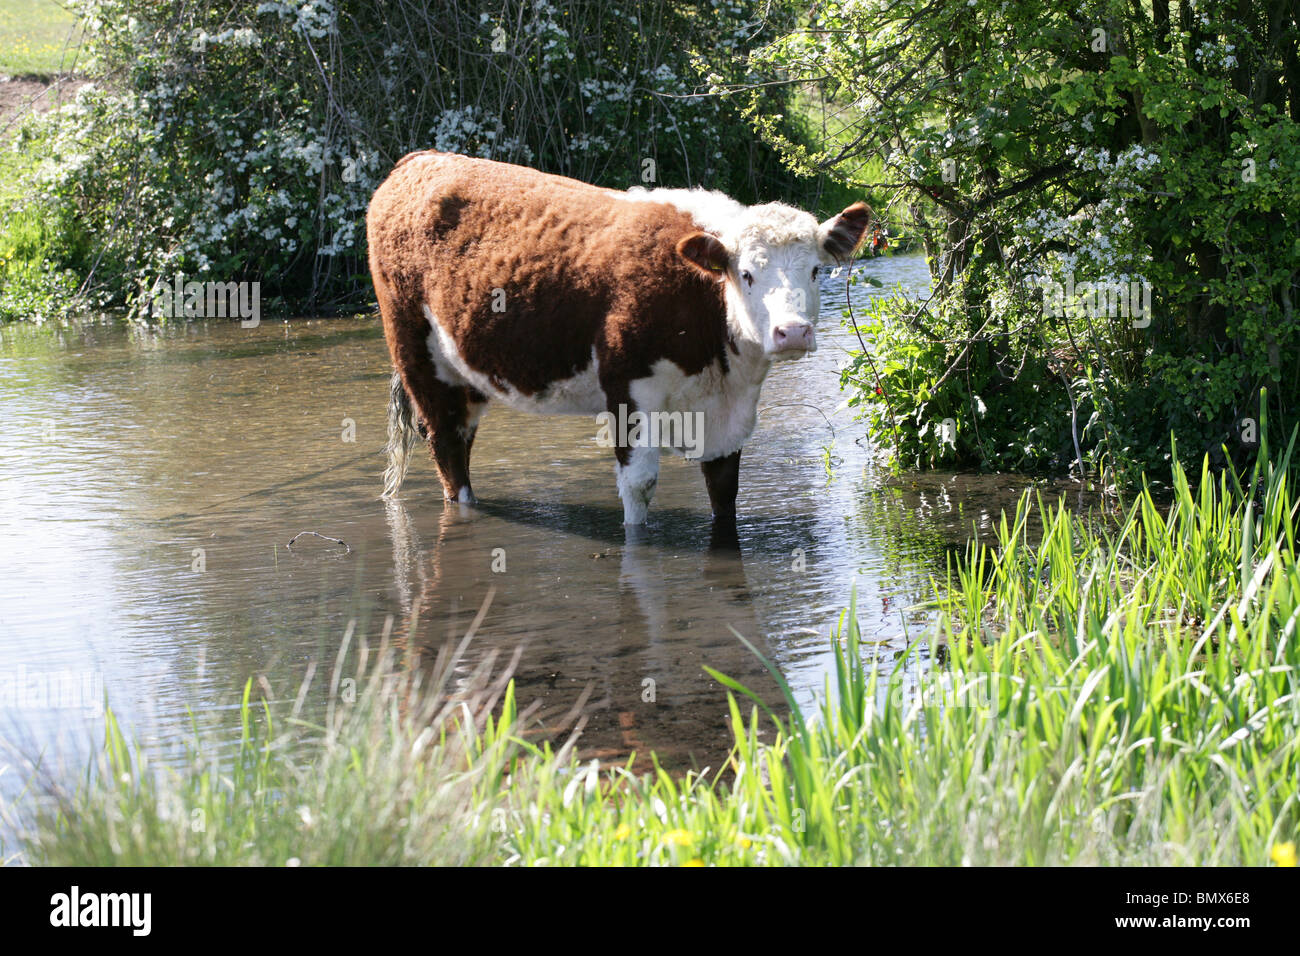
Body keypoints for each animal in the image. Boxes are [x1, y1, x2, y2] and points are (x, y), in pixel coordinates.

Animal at [367, 151, 871, 526]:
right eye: (745, 274)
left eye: (816, 270)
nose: (793, 332)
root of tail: (419, 160)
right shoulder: (628, 387)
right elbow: (639, 487)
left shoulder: (727, 411)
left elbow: (725, 489)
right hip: (418, 356)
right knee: (447, 446)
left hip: (463, 373)